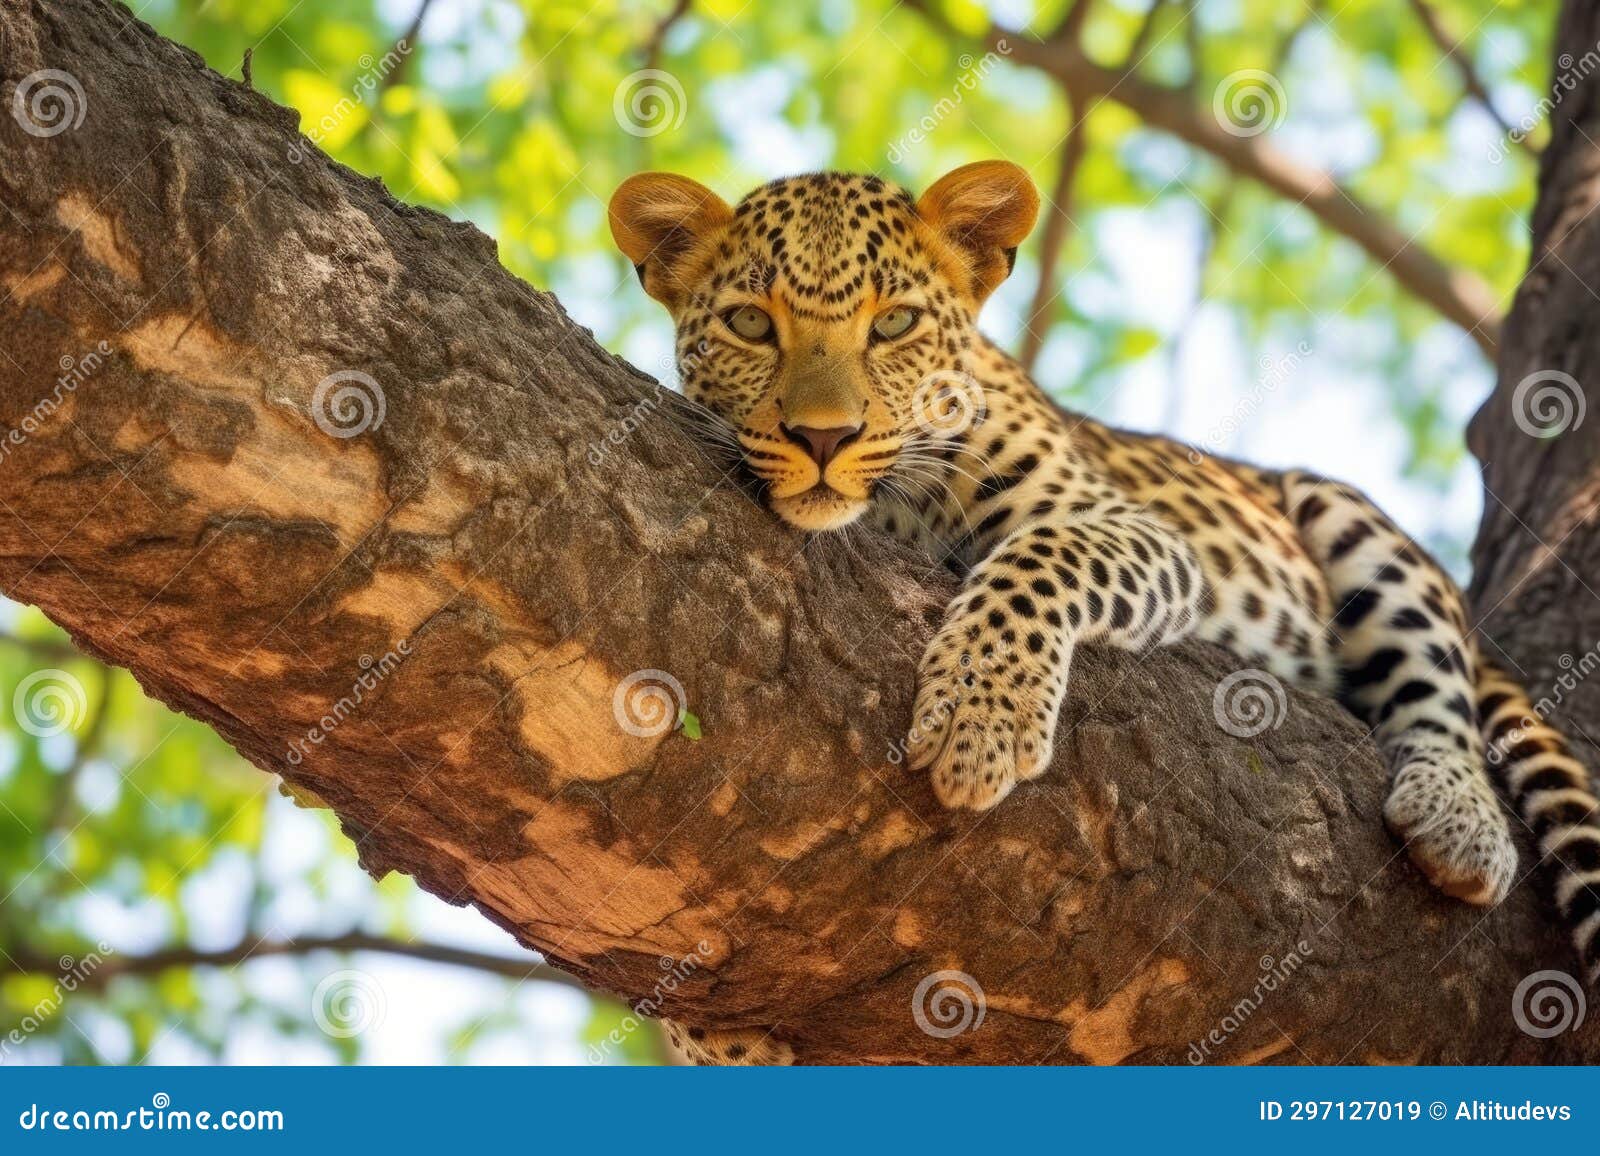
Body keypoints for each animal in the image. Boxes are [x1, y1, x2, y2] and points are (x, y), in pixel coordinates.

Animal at [608, 162, 1600, 1064]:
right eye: (749, 323)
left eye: (893, 325)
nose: (823, 438)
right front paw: (712, 1022)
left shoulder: (1135, 529)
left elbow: (1038, 558)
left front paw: (981, 718)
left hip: (1350, 518)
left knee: (1438, 688)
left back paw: (1457, 816)